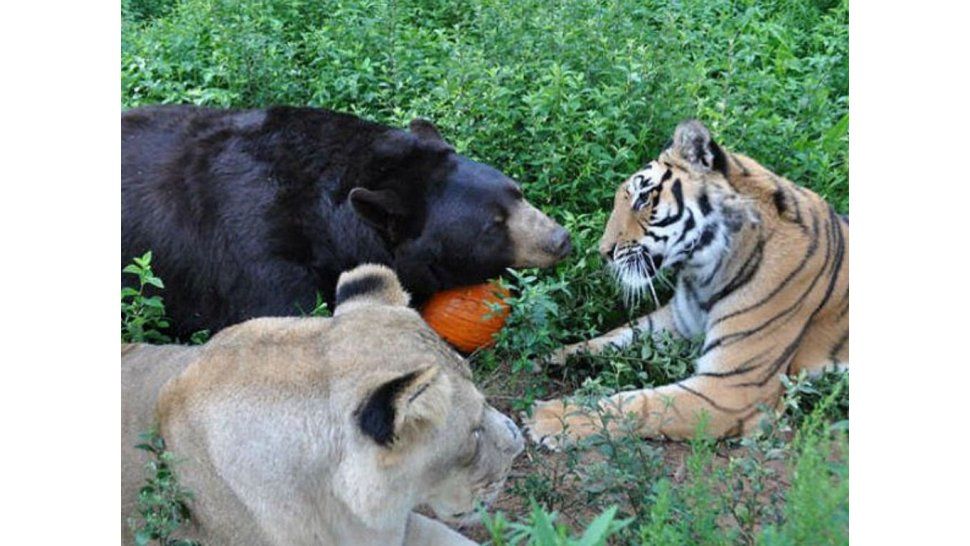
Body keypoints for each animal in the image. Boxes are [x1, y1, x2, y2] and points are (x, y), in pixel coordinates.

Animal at [525, 119, 848, 447]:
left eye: (644, 198)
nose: (603, 252)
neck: (704, 273)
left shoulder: (734, 387)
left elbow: (642, 404)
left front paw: (553, 418)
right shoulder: (678, 321)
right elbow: (613, 337)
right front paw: (547, 356)